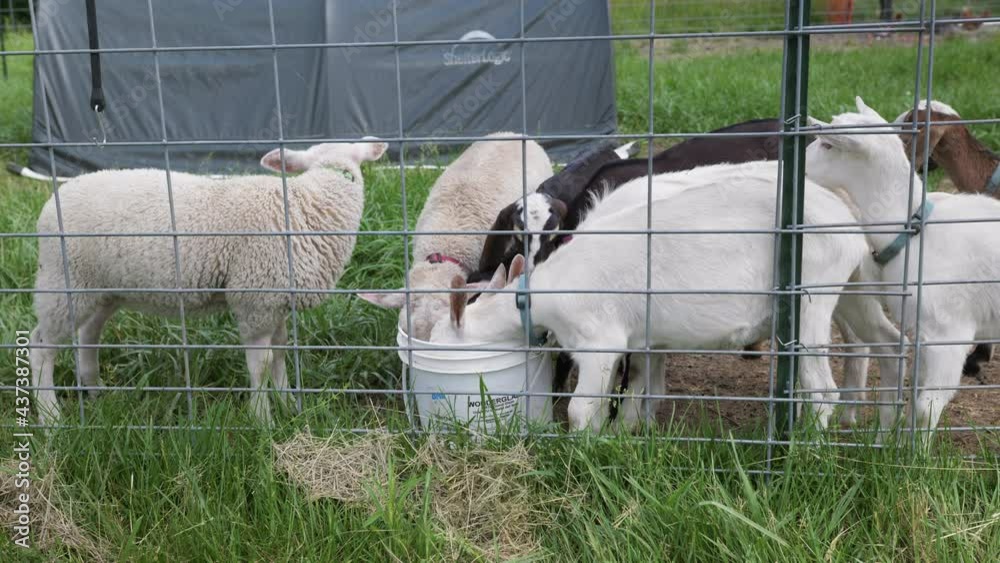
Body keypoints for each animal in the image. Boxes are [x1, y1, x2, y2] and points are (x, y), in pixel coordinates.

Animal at [29, 140, 388, 425]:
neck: (306, 205)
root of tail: (50, 204)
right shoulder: (255, 300)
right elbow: (261, 365)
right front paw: (263, 420)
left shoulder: (275, 301)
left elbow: (281, 353)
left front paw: (288, 405)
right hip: (63, 281)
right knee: (40, 346)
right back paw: (50, 417)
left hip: (102, 288)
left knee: (87, 335)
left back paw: (95, 391)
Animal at [430, 160, 903, 432]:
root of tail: (845, 217)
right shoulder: (643, 339)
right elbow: (638, 394)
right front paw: (625, 437)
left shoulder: (600, 340)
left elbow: (583, 410)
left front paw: (587, 455)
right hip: (851, 287)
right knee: (888, 341)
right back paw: (892, 430)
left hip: (809, 298)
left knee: (822, 389)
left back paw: (806, 454)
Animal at [807, 97, 1000, 434]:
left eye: (828, 144)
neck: (914, 230)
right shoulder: (924, 332)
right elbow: (915, 398)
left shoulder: (949, 332)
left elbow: (926, 406)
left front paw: (917, 449)